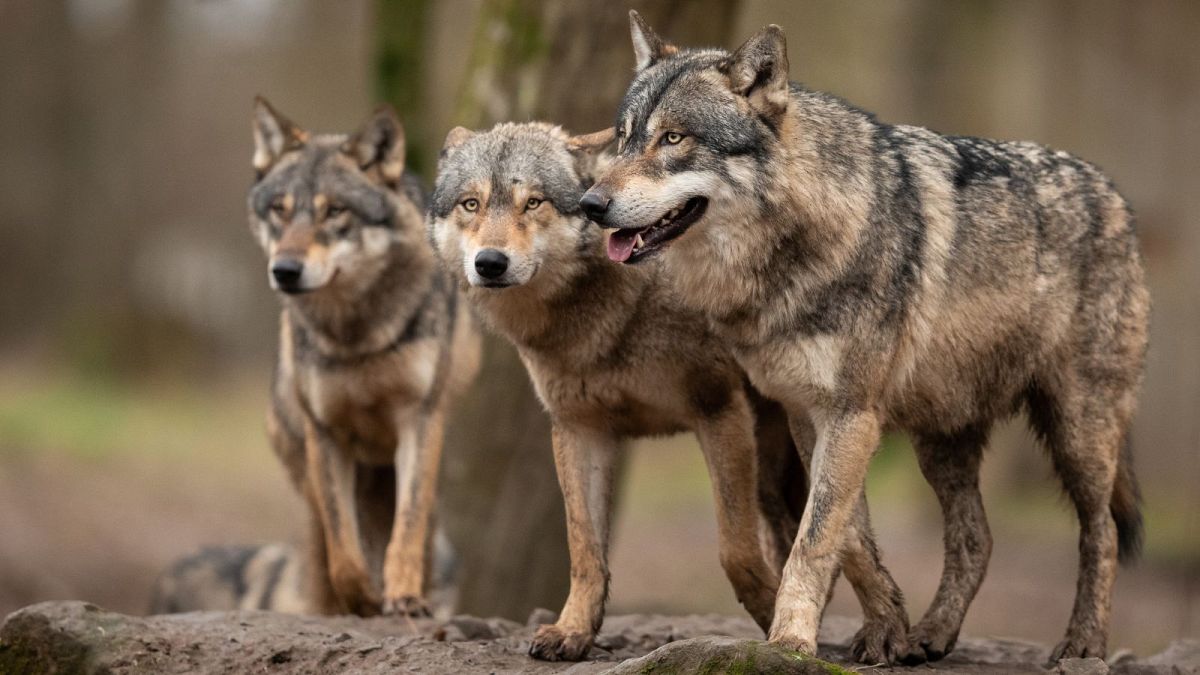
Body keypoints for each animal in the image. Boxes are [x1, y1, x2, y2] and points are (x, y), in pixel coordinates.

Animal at [247, 98, 479, 617]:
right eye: (279, 210)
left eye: (334, 211)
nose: (284, 270)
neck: (356, 335)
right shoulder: (327, 434)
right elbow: (344, 554)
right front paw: (363, 602)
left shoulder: (418, 421)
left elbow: (407, 530)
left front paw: (404, 596)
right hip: (311, 475)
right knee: (322, 552)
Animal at [426, 121, 917, 662]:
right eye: (471, 204)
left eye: (533, 203)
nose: (490, 263)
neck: (608, 313)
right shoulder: (579, 430)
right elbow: (585, 549)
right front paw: (573, 630)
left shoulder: (718, 412)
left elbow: (734, 551)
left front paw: (774, 626)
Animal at [581, 12, 1149, 665]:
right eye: (624, 137)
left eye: (673, 139)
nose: (590, 204)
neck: (792, 250)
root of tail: (1114, 193)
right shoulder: (809, 413)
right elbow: (847, 536)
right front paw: (886, 628)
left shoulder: (852, 414)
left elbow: (814, 538)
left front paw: (791, 641)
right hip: (943, 440)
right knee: (977, 538)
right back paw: (932, 634)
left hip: (1078, 431)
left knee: (1101, 532)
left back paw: (1082, 643)